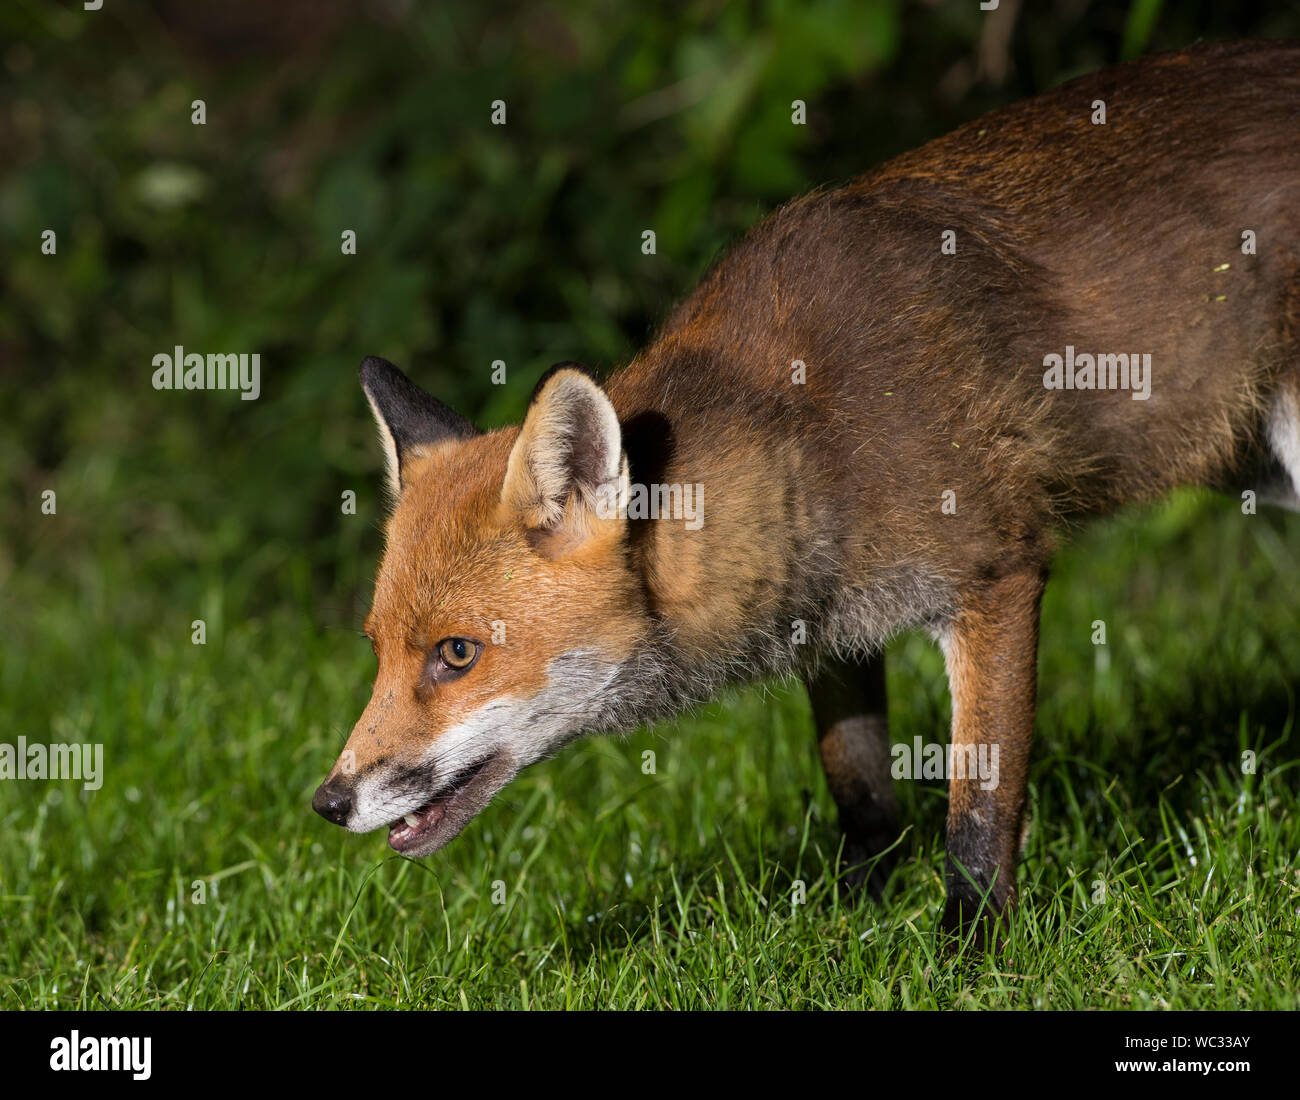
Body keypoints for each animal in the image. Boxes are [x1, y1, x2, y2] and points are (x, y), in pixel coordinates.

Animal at [313, 40, 1300, 941]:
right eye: (376, 649)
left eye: (457, 654)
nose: (327, 802)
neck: (811, 433)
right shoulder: (831, 626)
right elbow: (860, 793)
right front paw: (849, 921)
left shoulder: (995, 579)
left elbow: (979, 811)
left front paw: (967, 953)